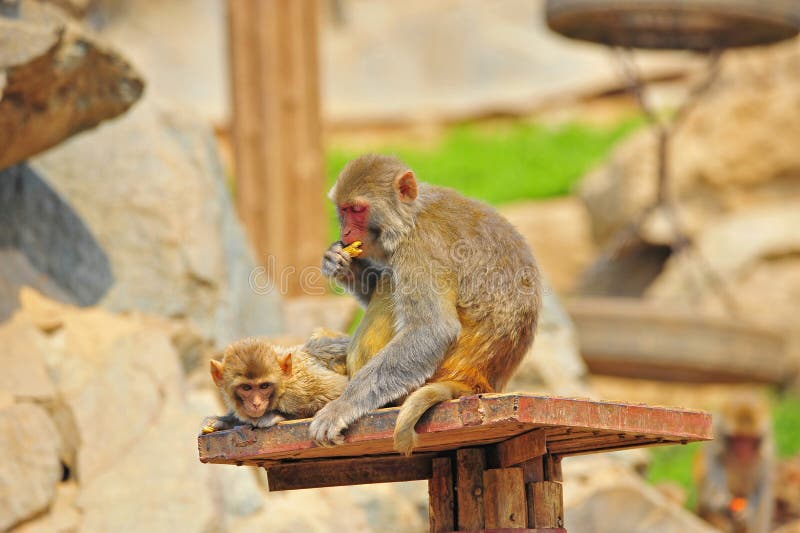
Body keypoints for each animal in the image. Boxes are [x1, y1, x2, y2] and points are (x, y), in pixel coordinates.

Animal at [202, 331, 349, 432]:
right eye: (246, 388)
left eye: (264, 386)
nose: (256, 403)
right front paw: (221, 420)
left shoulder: (299, 389)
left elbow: (338, 394)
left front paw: (273, 415)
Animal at [310, 154, 541, 455]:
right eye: (343, 210)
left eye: (357, 210)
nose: (345, 231)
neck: (411, 218)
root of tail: (478, 382)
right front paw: (338, 263)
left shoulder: (419, 248)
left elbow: (433, 329)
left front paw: (343, 406)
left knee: (391, 287)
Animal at [695, 395, 775, 533]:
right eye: (738, 439)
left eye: (749, 439)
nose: (743, 449)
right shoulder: (718, 430)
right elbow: (713, 459)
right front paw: (718, 497)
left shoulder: (767, 446)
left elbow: (762, 479)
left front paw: (748, 511)